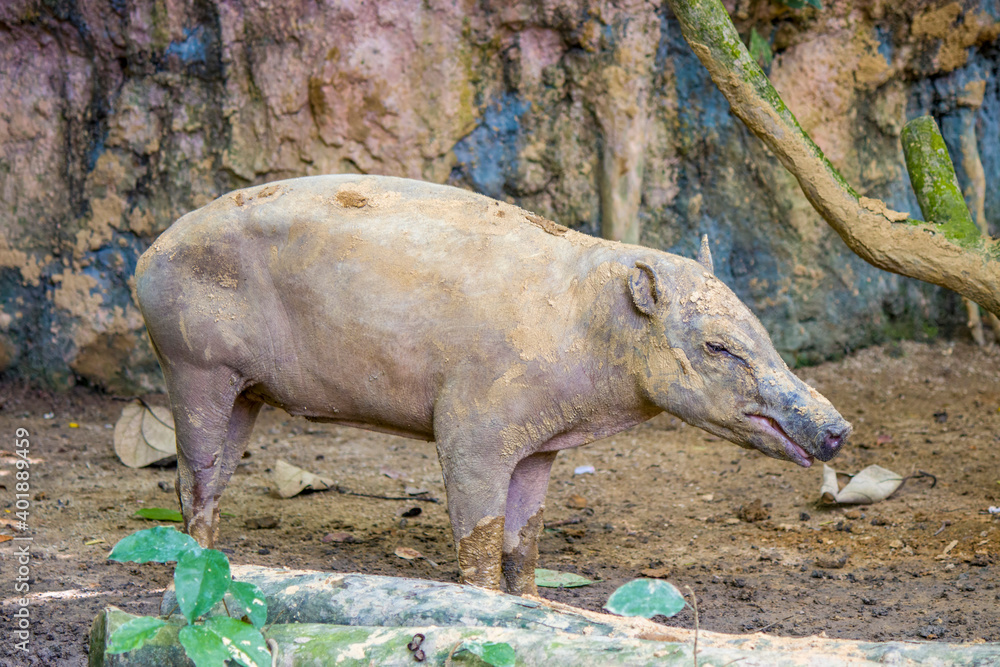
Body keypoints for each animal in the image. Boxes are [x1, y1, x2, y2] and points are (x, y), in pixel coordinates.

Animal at [135, 174, 851, 595]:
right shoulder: (472, 425)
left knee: (216, 475)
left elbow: (525, 535)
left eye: (760, 330)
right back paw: (192, 566)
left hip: (247, 391)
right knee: (193, 478)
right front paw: (487, 604)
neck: (589, 329)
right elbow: (477, 531)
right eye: (718, 347)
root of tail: (148, 255)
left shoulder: (539, 445)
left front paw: (533, 603)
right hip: (193, 365)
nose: (839, 428)